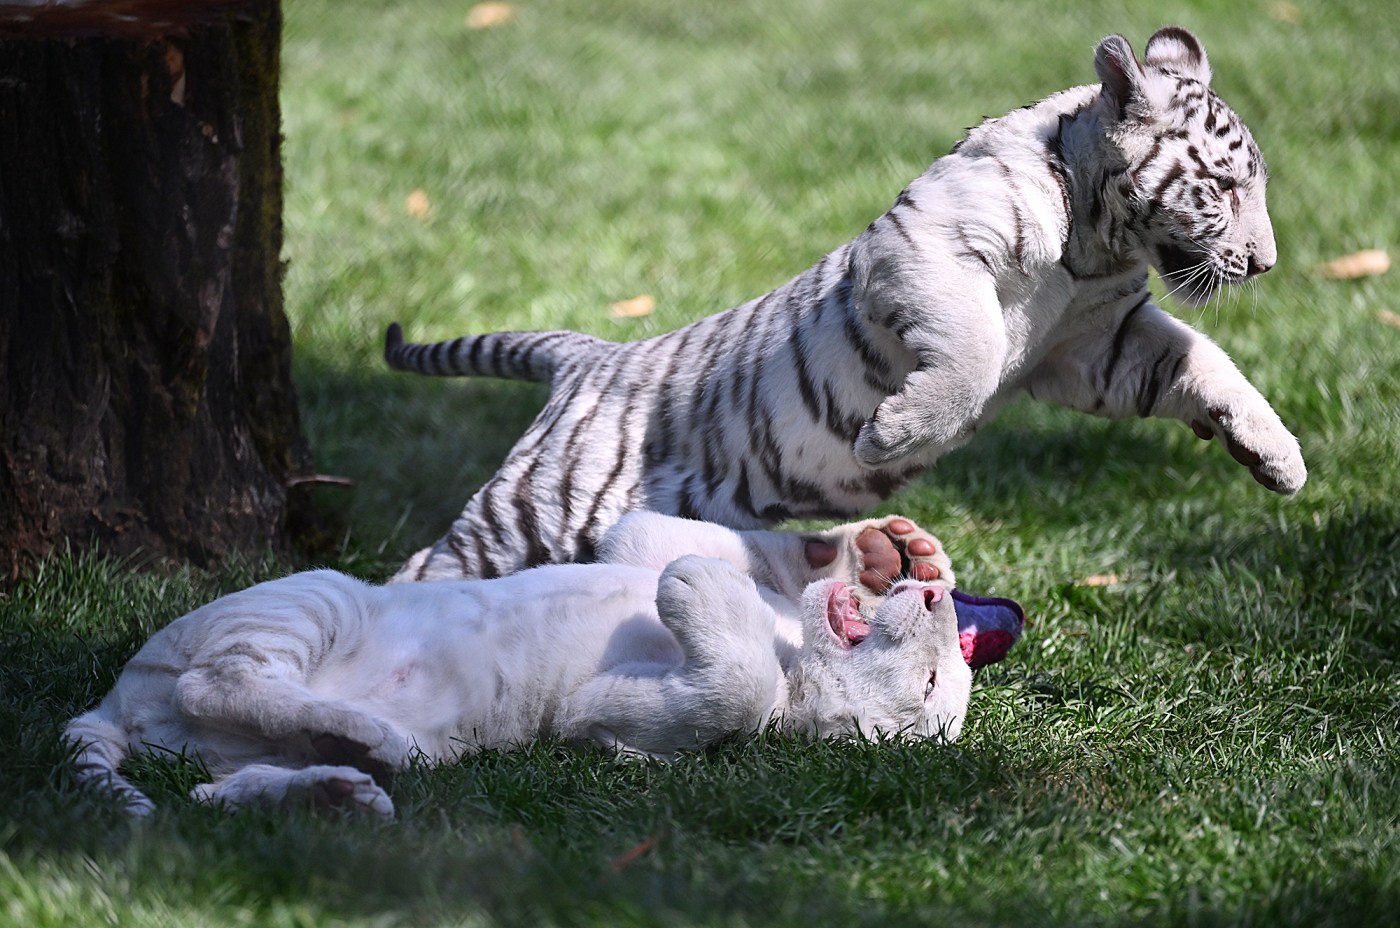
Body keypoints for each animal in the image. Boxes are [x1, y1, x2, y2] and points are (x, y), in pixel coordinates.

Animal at [65, 513, 1024, 818]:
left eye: (930, 686)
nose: (938, 607)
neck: (793, 648)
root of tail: (115, 707)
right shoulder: (637, 538)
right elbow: (694, 538)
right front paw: (881, 553)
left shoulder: (619, 727)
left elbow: (728, 690)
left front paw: (694, 591)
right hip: (304, 604)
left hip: (301, 618)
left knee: (218, 717)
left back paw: (359, 765)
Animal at [384, 26, 1305, 583]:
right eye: (1225, 188)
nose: (1266, 262)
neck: (1093, 243)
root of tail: (593, 356)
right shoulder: (925, 251)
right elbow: (972, 353)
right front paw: (891, 434)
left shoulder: (1095, 344)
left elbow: (1204, 362)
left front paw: (1277, 457)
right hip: (533, 511)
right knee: (428, 564)